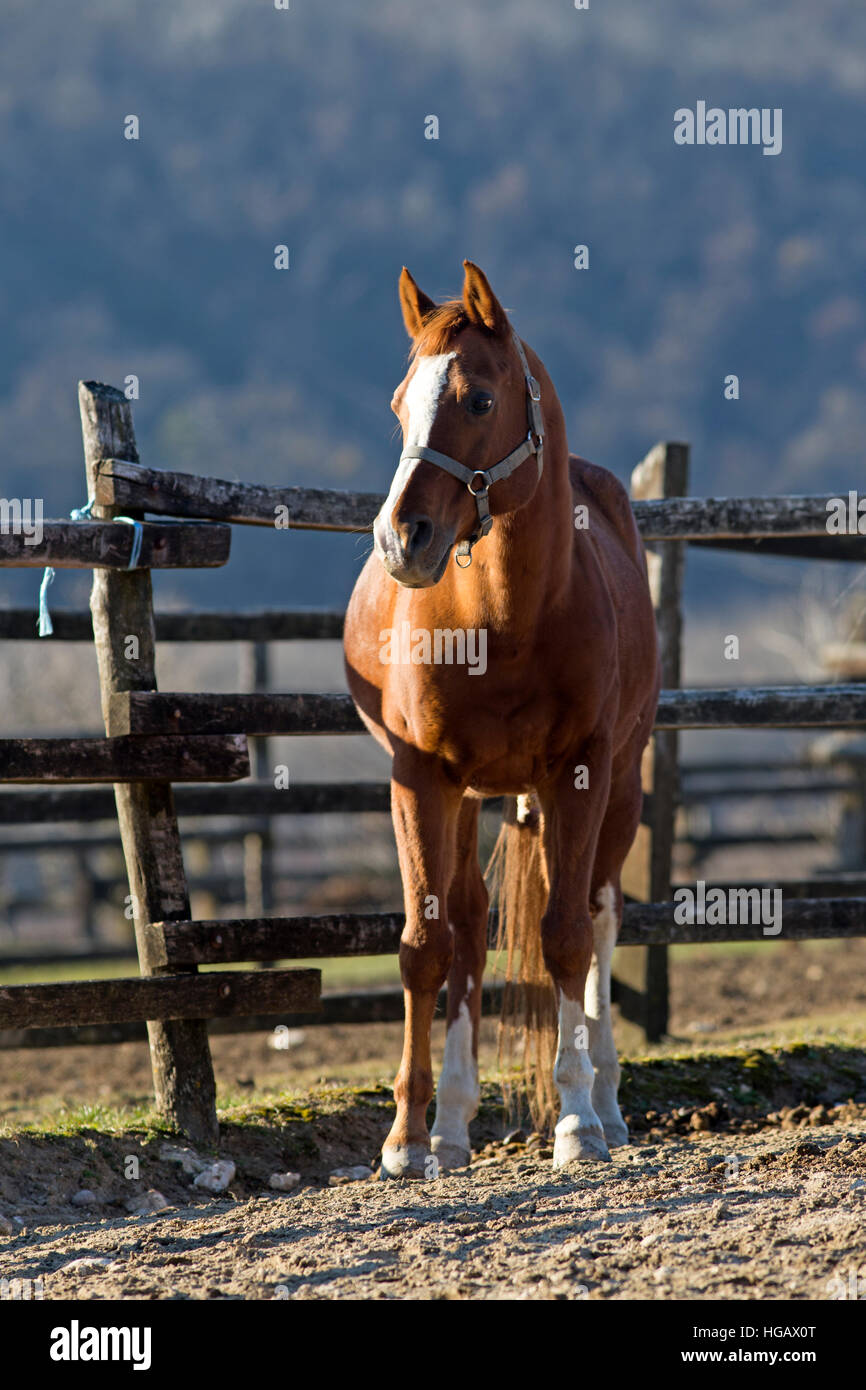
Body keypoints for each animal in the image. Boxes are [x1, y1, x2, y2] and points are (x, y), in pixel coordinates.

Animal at [343, 260, 659, 1178]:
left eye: (479, 399)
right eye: (397, 403)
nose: (400, 539)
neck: (503, 617)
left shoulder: (580, 774)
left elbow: (566, 936)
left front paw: (576, 1121)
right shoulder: (419, 777)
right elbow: (427, 944)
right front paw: (408, 1138)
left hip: (620, 784)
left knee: (600, 915)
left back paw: (607, 1104)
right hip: (471, 795)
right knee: (469, 925)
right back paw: (452, 1124)